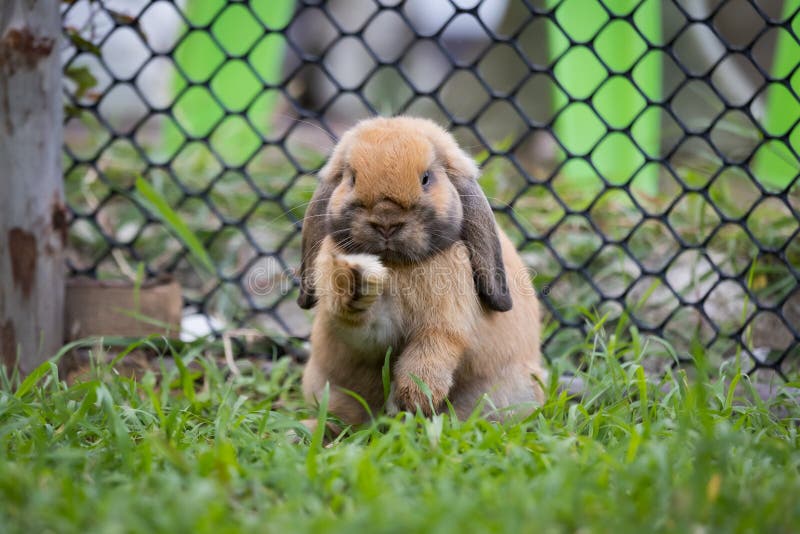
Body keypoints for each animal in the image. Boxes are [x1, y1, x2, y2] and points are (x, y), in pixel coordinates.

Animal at [297, 116, 545, 429]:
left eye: (426, 178)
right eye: (351, 178)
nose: (386, 221)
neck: (398, 264)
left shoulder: (445, 323)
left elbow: (436, 347)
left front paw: (414, 399)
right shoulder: (371, 331)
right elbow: (362, 327)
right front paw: (356, 280)